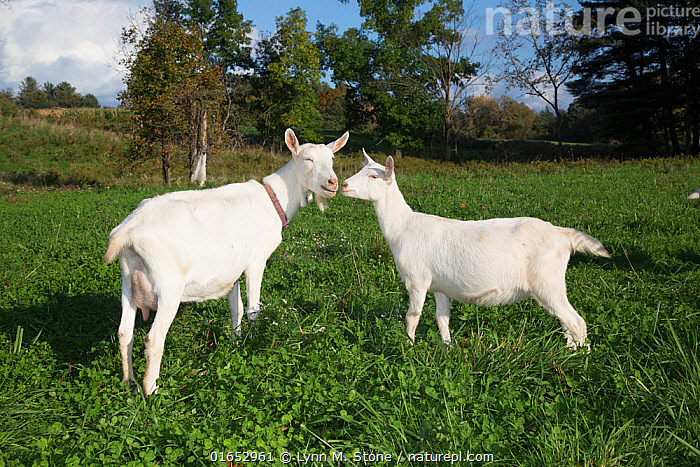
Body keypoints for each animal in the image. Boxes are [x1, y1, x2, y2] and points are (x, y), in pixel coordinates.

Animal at [104, 129, 349, 395]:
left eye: (332, 159)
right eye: (308, 159)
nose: (333, 183)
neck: (274, 201)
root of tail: (127, 231)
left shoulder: (233, 270)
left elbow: (236, 308)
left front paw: (235, 342)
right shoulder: (255, 261)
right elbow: (253, 309)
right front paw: (253, 343)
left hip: (128, 281)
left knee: (124, 332)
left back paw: (129, 381)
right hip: (168, 286)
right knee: (154, 338)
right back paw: (152, 391)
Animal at [340, 151, 610, 349]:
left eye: (373, 177)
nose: (342, 185)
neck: (404, 227)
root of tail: (562, 235)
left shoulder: (417, 280)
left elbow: (413, 315)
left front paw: (408, 346)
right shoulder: (440, 286)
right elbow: (442, 318)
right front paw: (447, 348)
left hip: (547, 282)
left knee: (576, 322)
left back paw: (577, 359)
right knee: (567, 323)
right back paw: (568, 350)